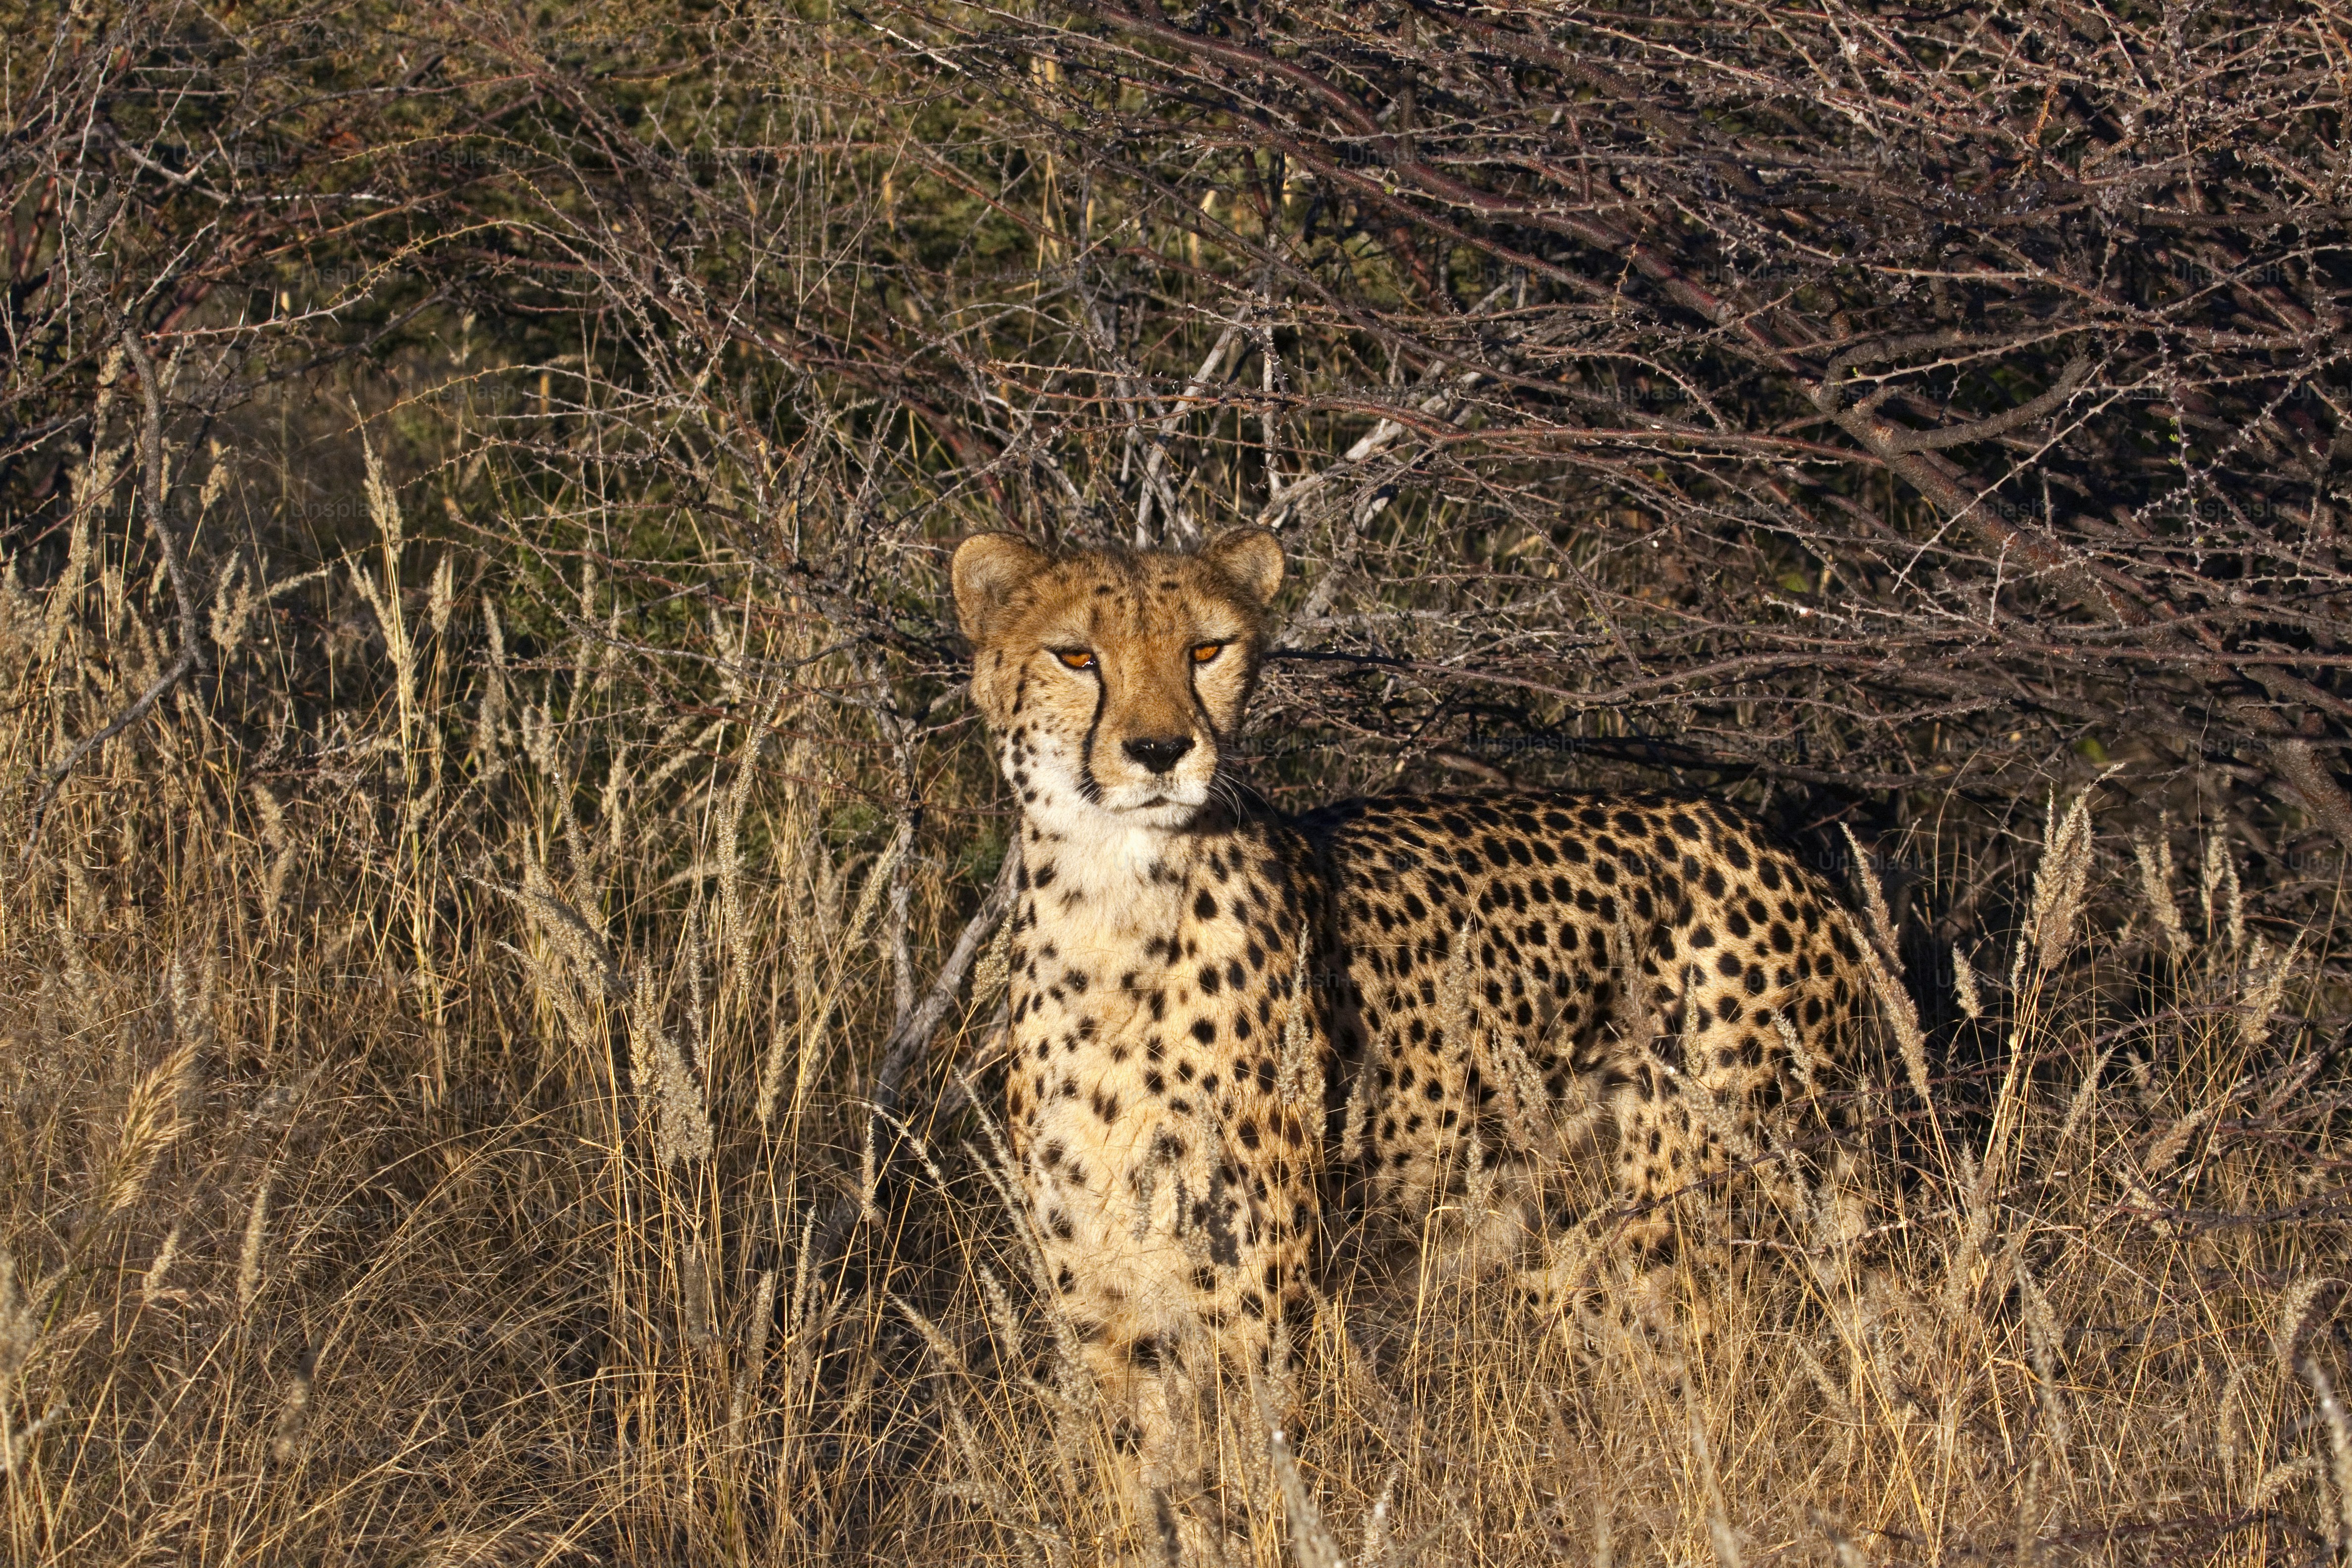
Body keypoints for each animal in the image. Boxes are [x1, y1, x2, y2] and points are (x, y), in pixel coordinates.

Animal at [951, 525, 1884, 1544]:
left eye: (1206, 649)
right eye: (1076, 656)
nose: (1160, 750)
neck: (1114, 909)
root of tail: (1770, 840)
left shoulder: (1255, 1308)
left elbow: (1251, 1485)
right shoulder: (1110, 1309)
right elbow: (1150, 1492)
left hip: (1686, 1216)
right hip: (1572, 1237)